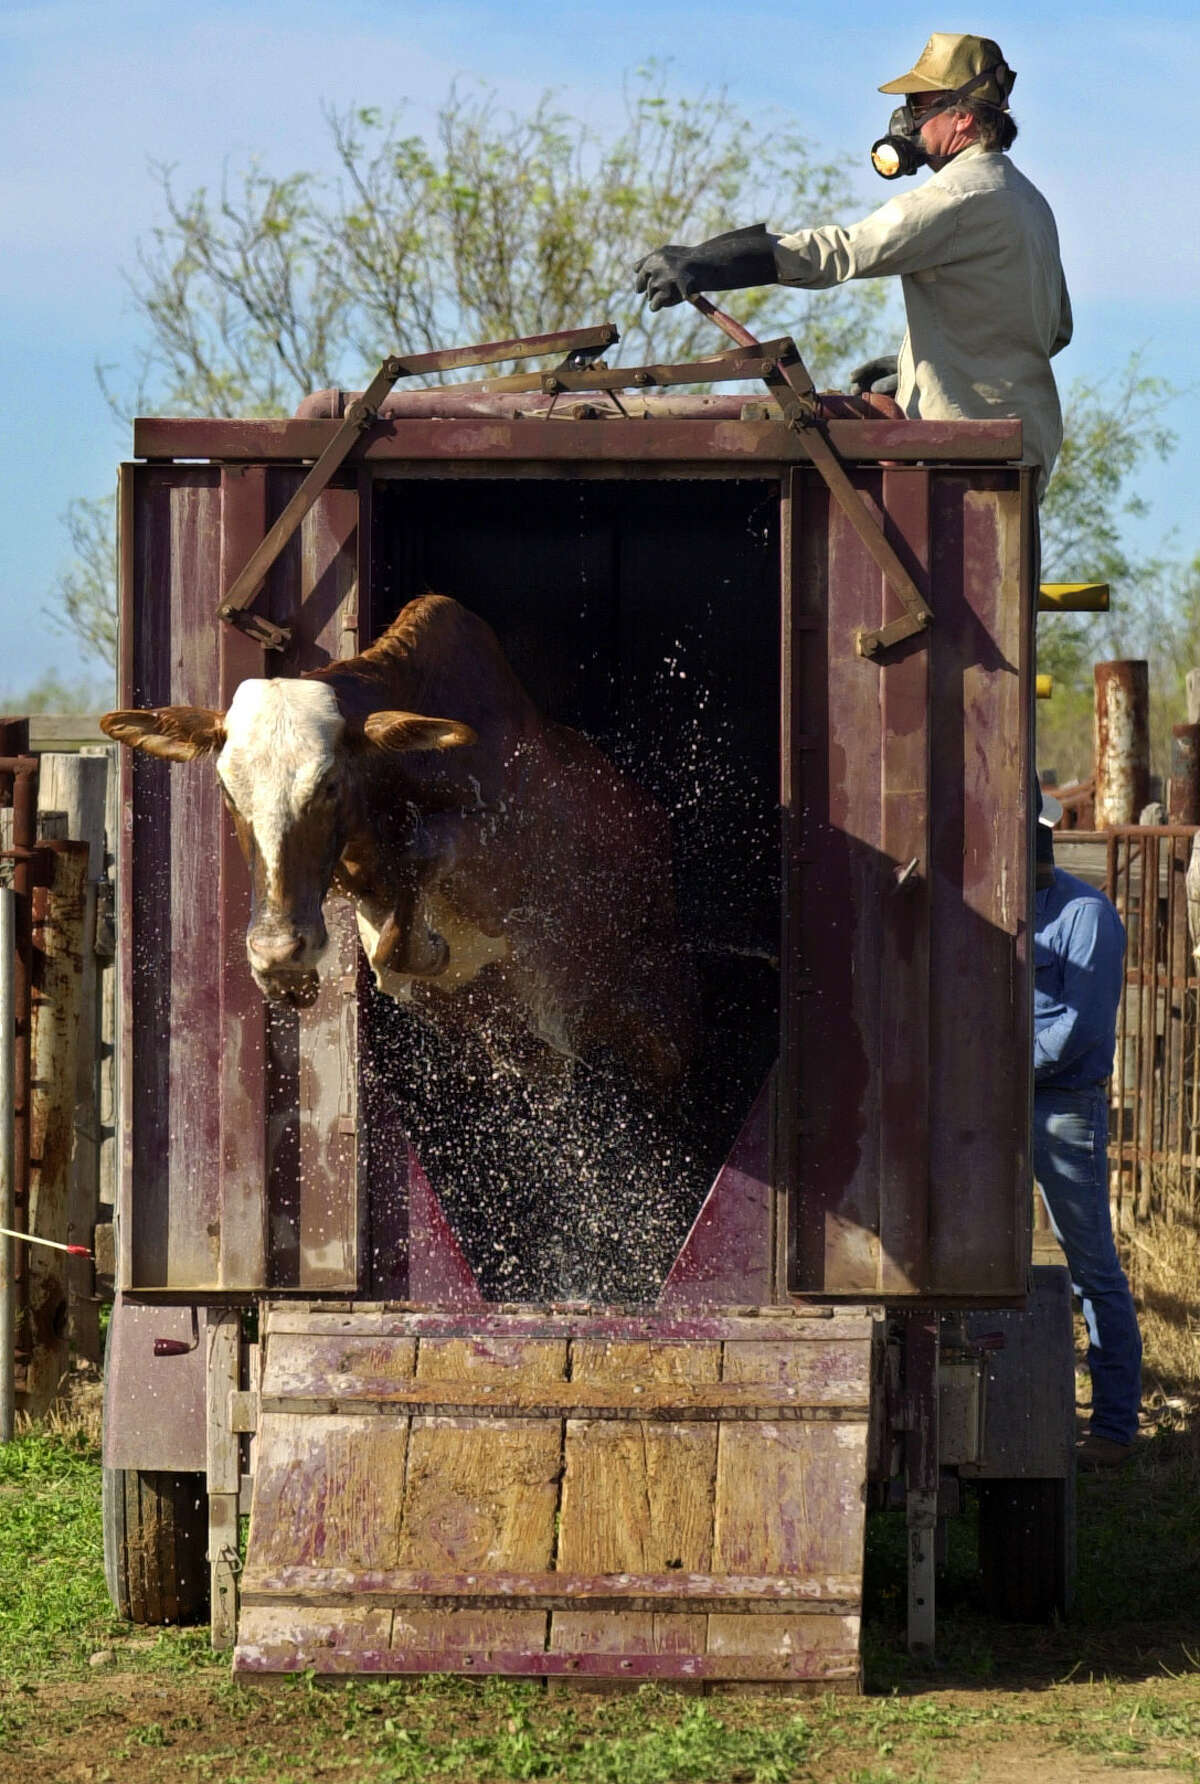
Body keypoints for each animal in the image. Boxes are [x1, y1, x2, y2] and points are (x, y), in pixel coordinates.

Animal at [101, 594, 699, 1089]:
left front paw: (428, 948)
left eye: (330, 783)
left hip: (658, 1032)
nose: (278, 951)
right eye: (228, 787)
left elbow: (425, 860)